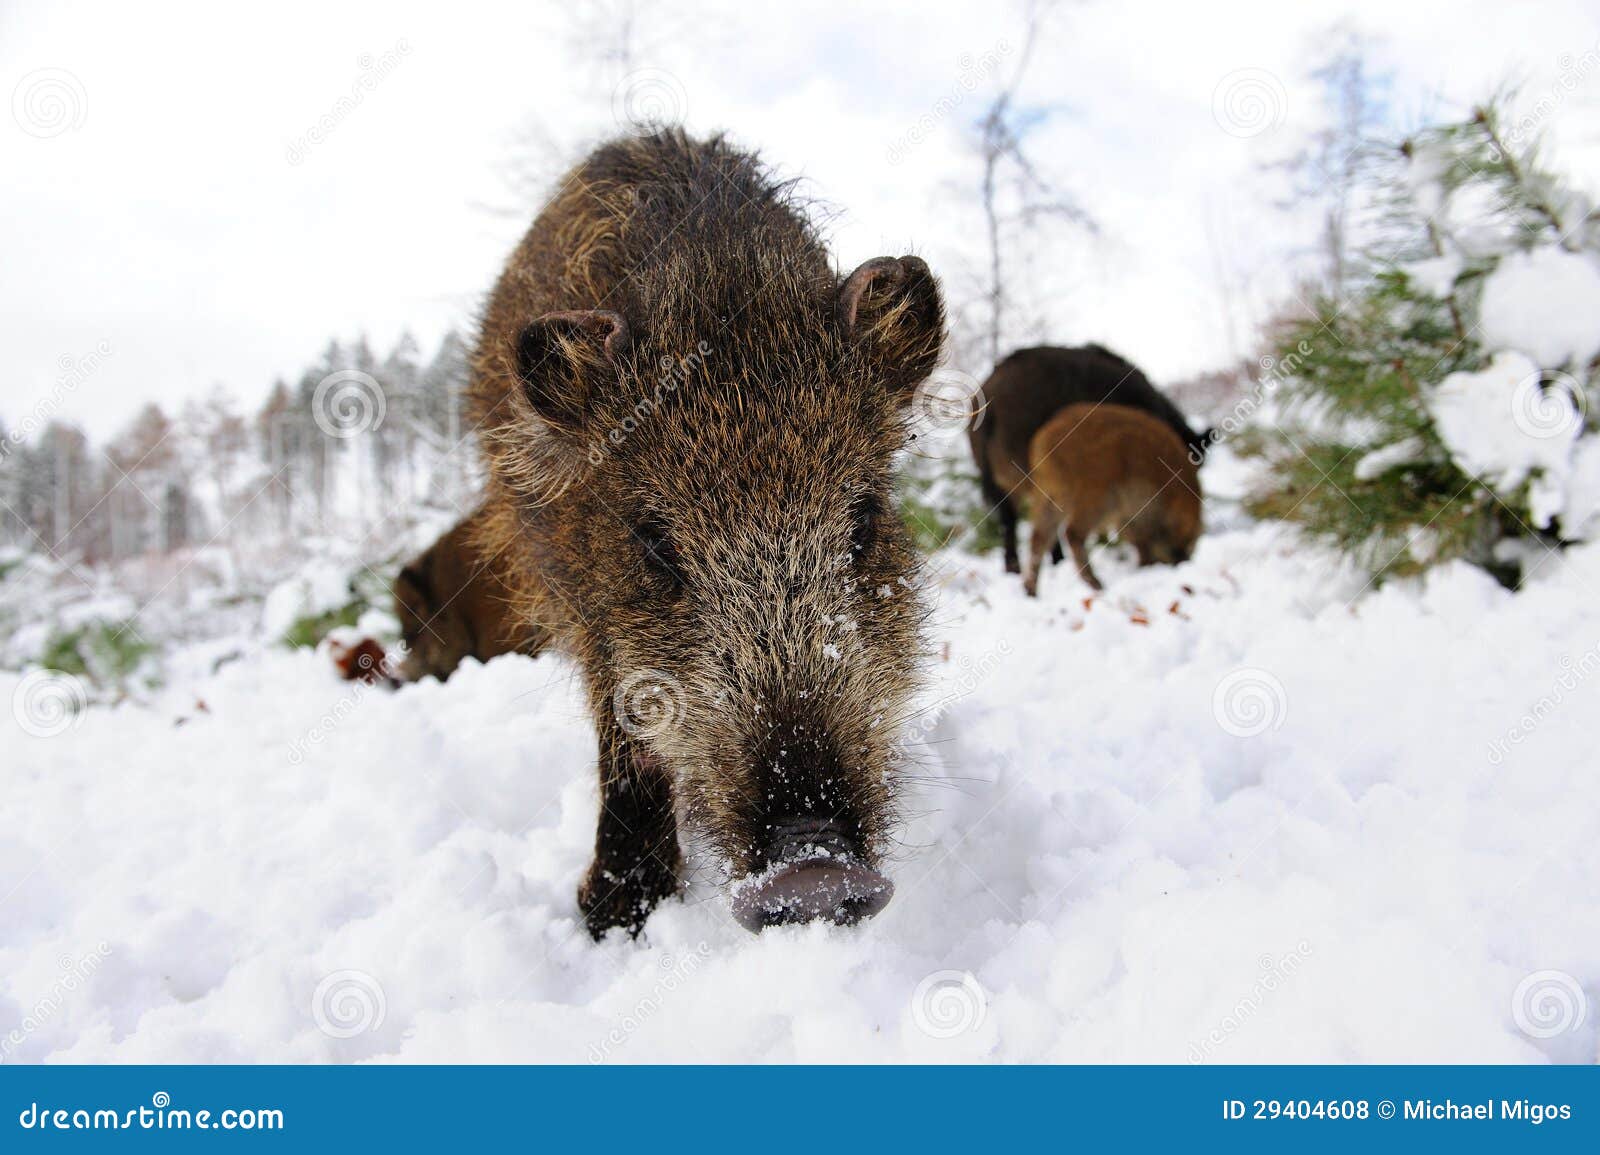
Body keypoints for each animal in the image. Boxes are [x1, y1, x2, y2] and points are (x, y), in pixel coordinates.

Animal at [466, 131, 945, 939]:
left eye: (864, 520)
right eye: (655, 544)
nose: (814, 866)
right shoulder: (578, 601)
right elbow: (621, 723)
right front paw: (614, 922)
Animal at [1021, 402, 1202, 596]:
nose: (1181, 561)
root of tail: (1046, 438)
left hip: (1050, 496)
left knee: (1039, 537)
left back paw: (1031, 591)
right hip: (1096, 497)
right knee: (1072, 532)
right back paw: (1097, 584)